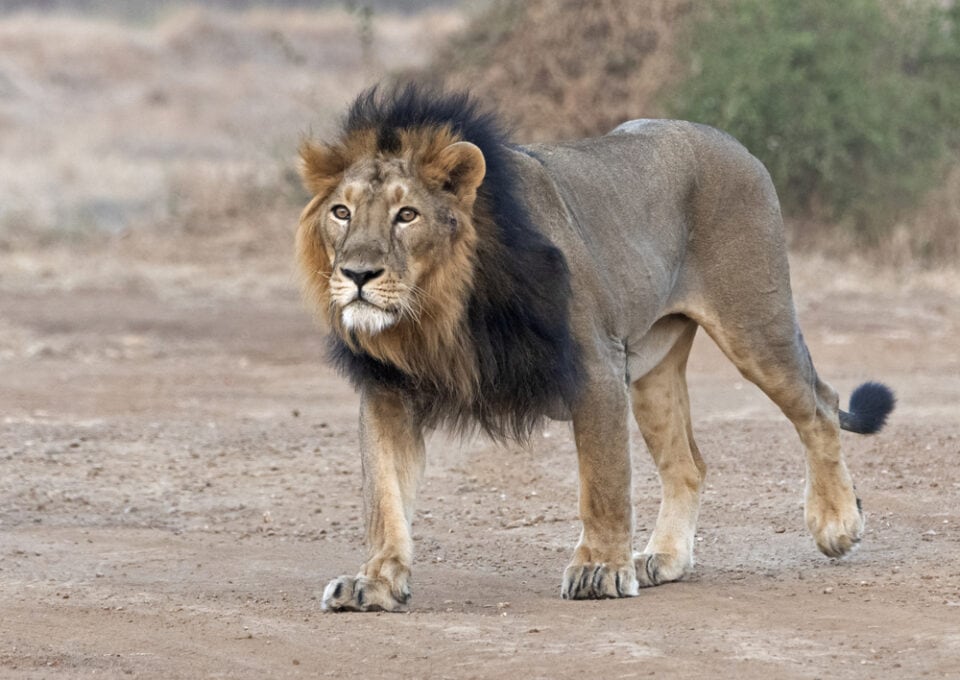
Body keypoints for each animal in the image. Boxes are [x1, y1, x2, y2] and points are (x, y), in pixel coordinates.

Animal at [296, 84, 895, 612]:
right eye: (342, 212)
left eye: (407, 215)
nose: (357, 274)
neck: (438, 310)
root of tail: (733, 142)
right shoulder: (388, 391)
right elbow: (383, 496)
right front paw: (374, 582)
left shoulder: (597, 366)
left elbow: (603, 482)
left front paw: (601, 569)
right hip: (653, 371)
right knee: (689, 463)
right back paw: (665, 558)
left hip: (753, 322)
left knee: (818, 407)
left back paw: (837, 523)